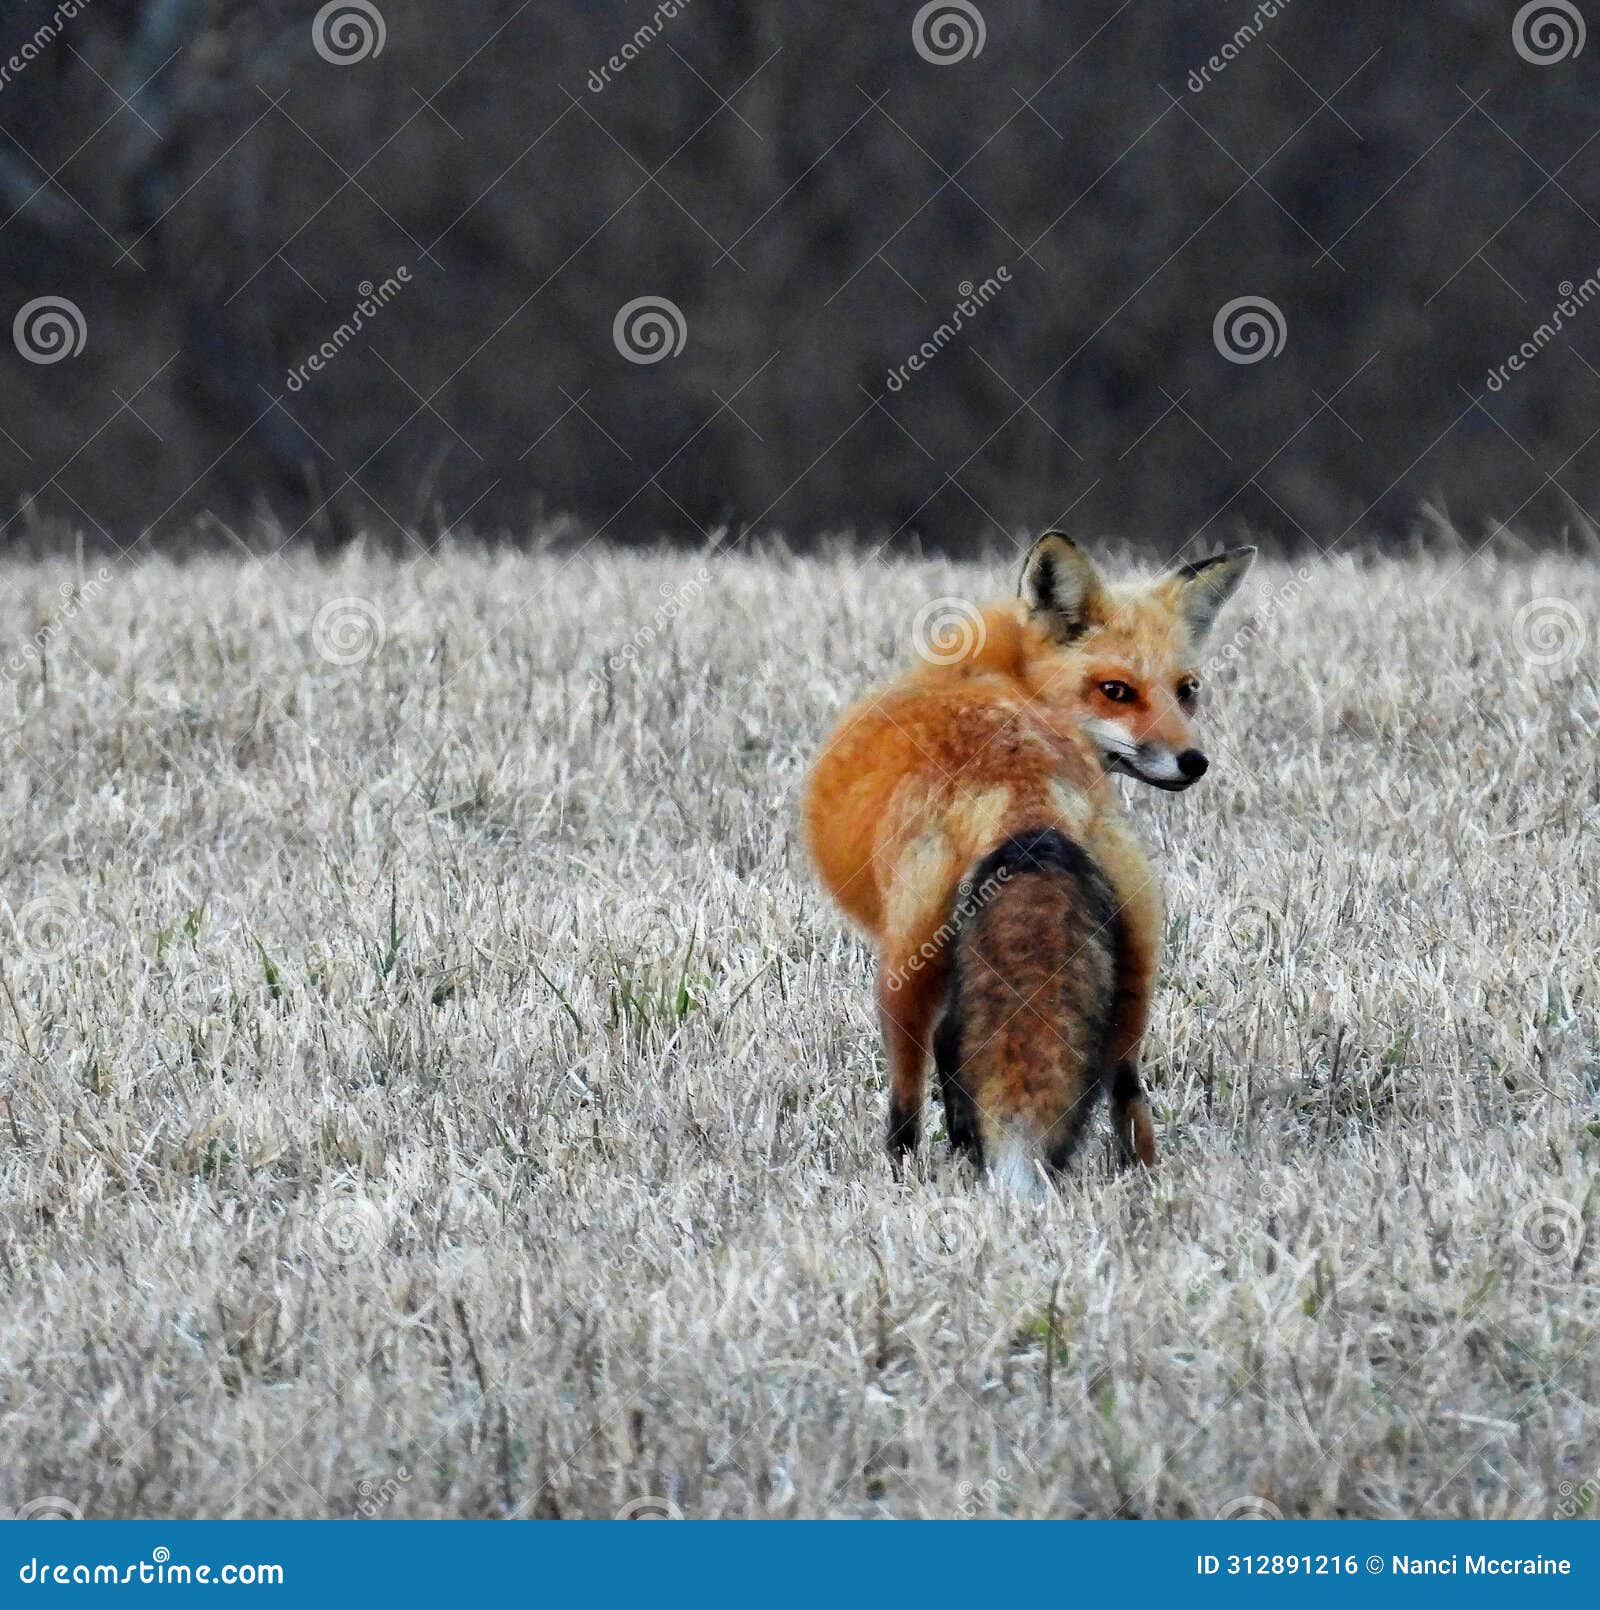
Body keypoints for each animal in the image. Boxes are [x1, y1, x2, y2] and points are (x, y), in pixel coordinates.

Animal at [804, 532, 1253, 1192]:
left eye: (1185, 689)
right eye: (1117, 690)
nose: (1193, 761)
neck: (1002, 673)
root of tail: (1024, 786)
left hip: (904, 967)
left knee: (907, 1101)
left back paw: (900, 1178)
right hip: (1138, 965)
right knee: (1126, 1089)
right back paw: (1141, 1182)